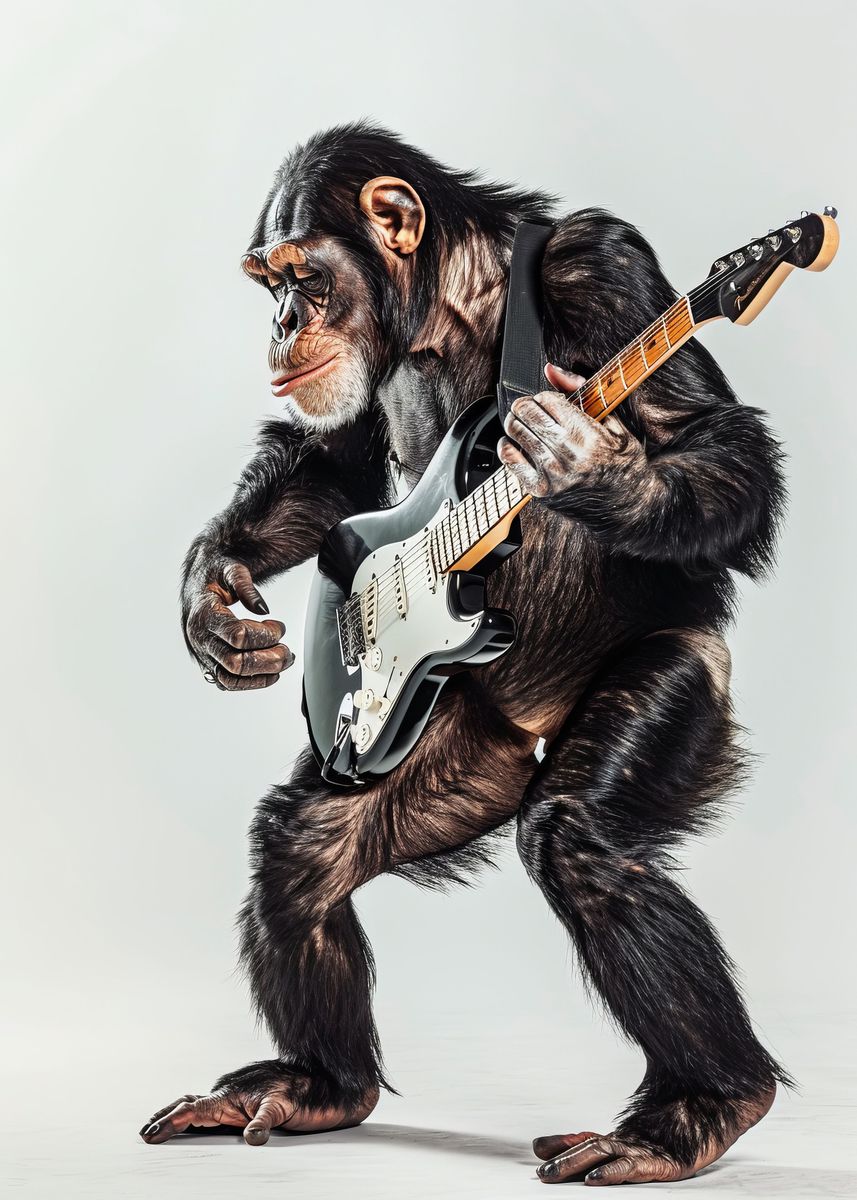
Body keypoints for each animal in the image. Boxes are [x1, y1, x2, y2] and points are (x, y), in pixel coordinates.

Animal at [140, 121, 791, 1186]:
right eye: (266, 281)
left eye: (301, 277)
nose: (278, 323)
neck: (444, 304)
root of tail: (524, 731)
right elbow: (336, 459)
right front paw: (214, 602)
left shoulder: (607, 268)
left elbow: (708, 440)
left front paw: (585, 463)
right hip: (434, 745)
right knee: (299, 848)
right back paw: (319, 1086)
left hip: (665, 683)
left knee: (579, 840)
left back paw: (693, 1113)